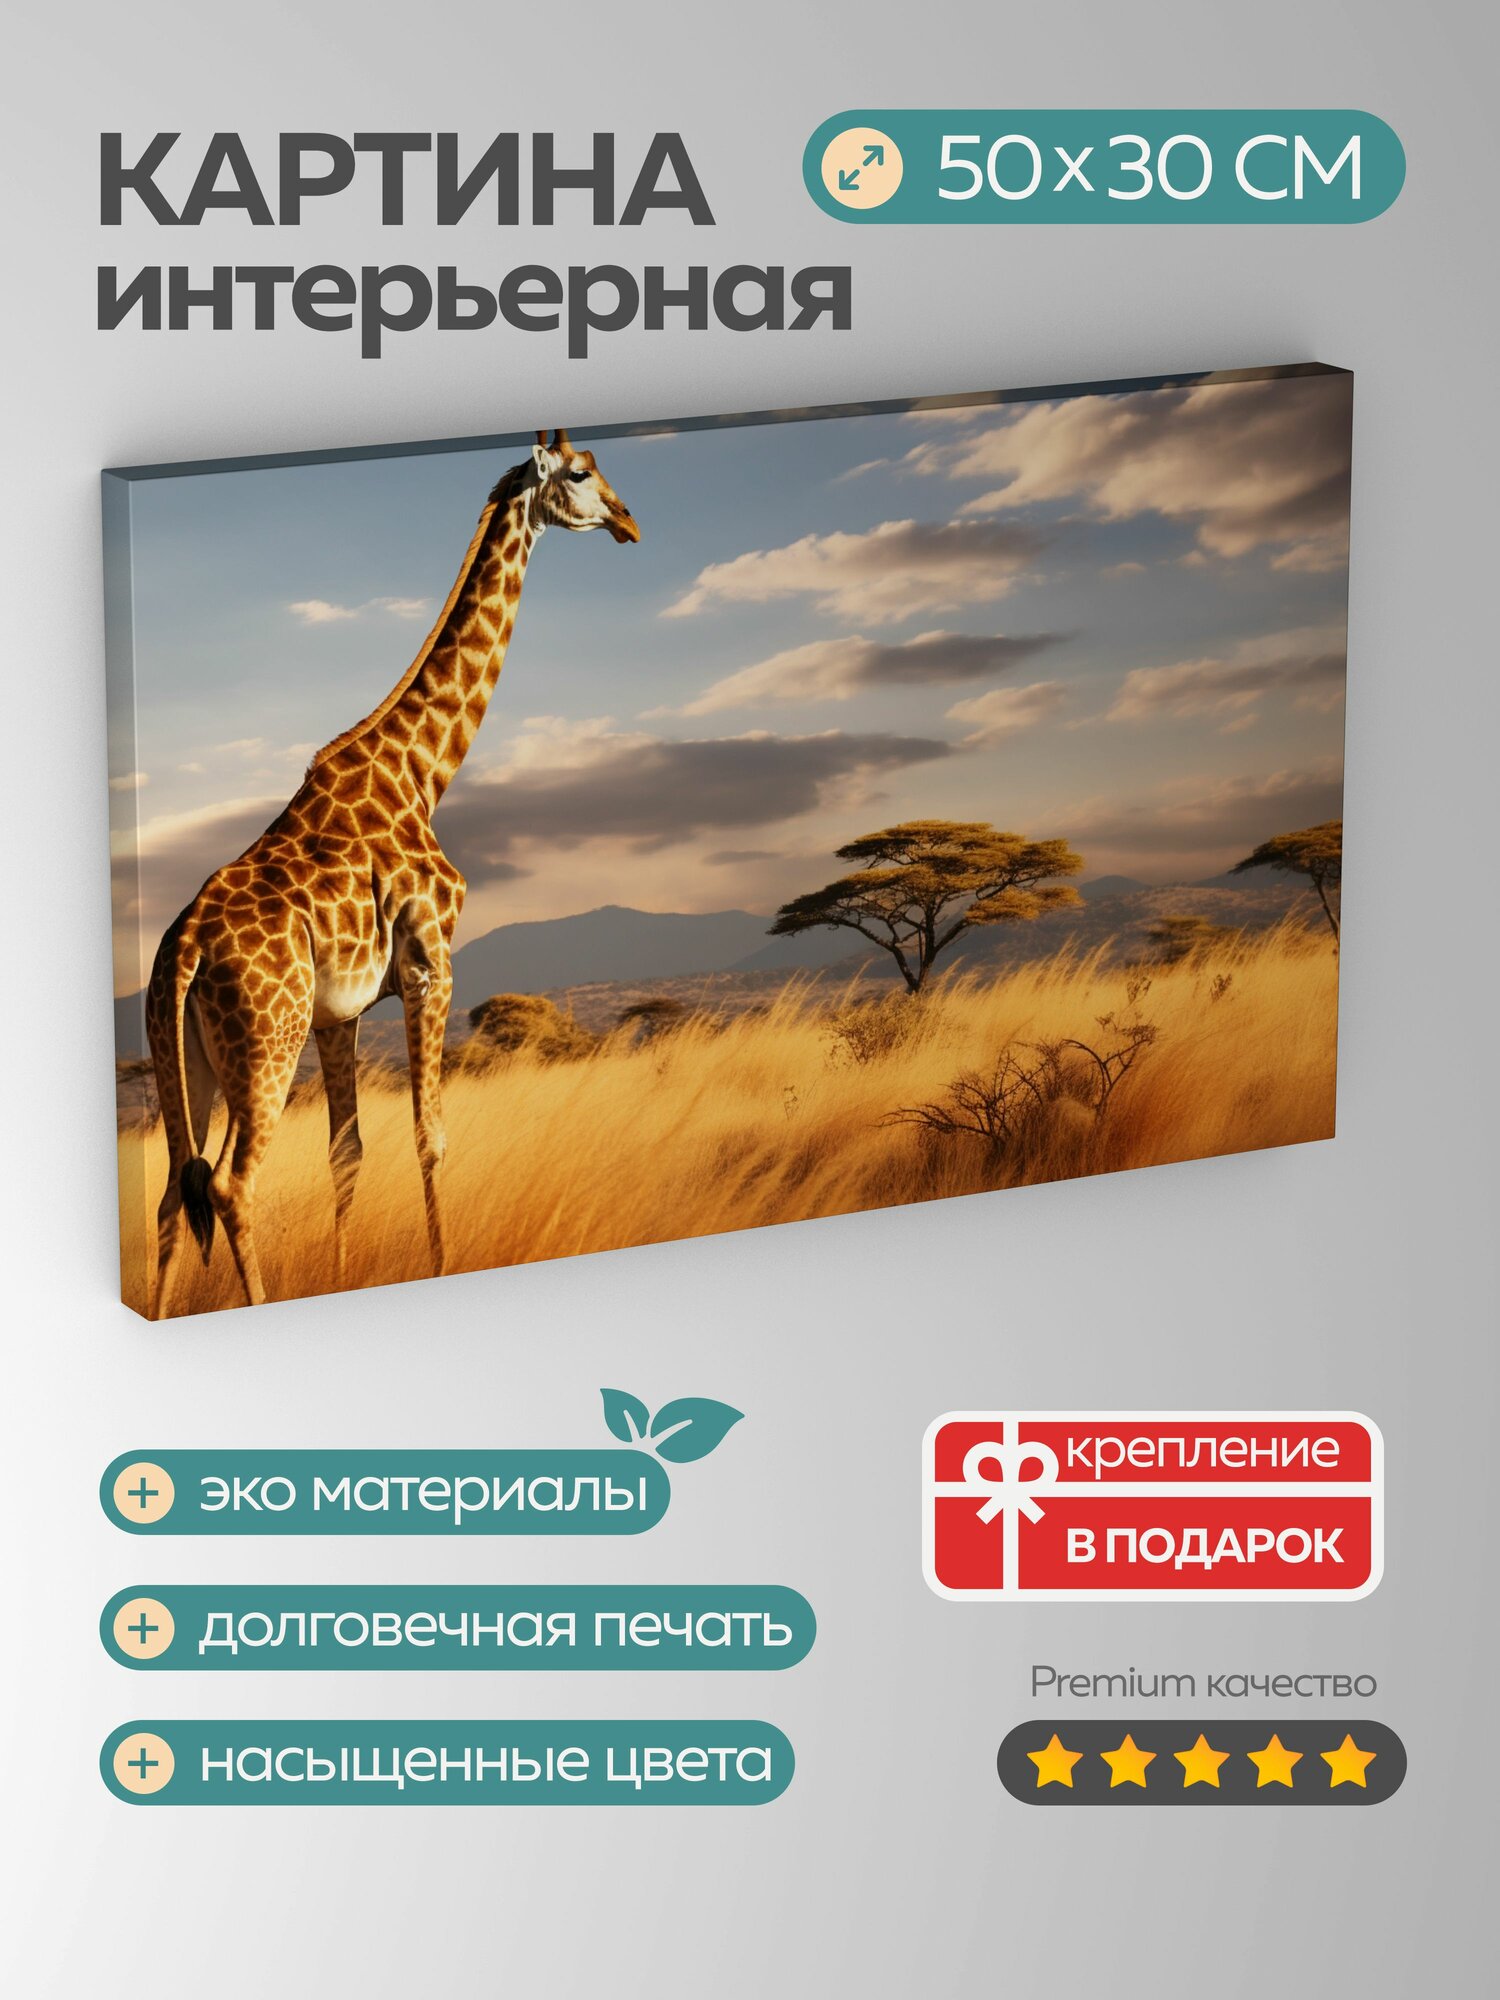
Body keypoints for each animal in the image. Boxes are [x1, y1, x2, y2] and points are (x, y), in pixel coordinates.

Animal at [144, 428, 639, 1317]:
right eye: (583, 473)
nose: (629, 522)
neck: (422, 771)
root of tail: (186, 947)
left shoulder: (339, 1015)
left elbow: (347, 1153)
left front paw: (344, 1277)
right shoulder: (430, 960)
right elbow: (429, 1136)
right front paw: (444, 1266)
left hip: (188, 1055)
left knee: (174, 1188)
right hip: (266, 1044)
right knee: (229, 1185)